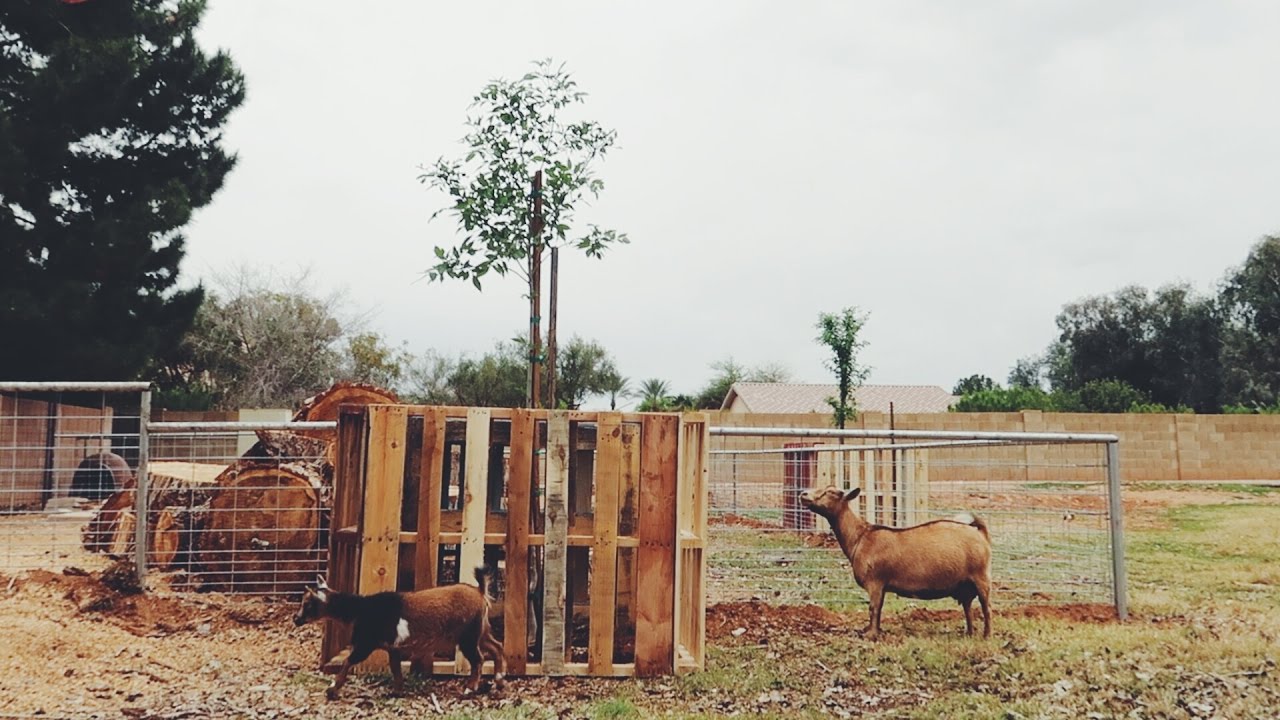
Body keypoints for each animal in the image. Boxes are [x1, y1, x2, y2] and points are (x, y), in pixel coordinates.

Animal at [798, 484, 998, 635]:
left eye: (832, 492)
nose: (803, 494)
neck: (860, 537)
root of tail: (979, 532)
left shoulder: (875, 582)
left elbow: (873, 608)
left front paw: (871, 635)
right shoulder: (882, 586)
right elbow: (878, 609)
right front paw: (874, 631)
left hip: (981, 576)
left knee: (987, 607)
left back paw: (986, 636)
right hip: (965, 585)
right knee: (968, 607)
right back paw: (969, 633)